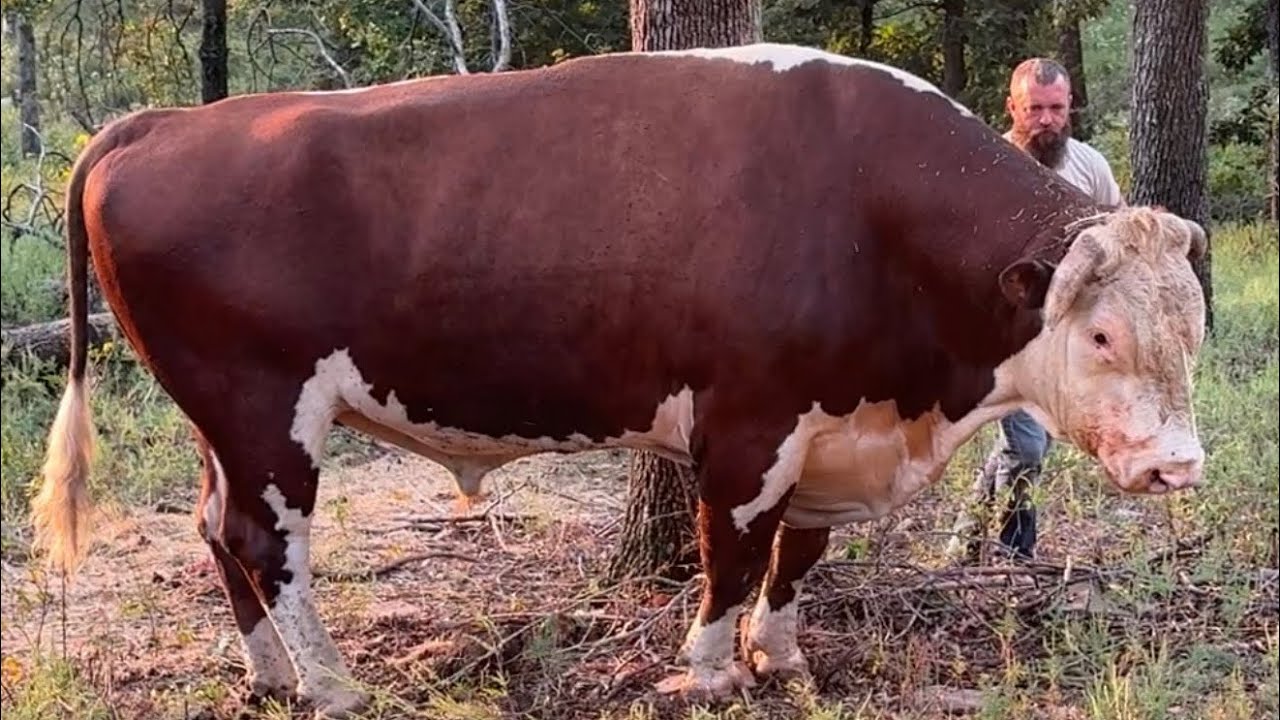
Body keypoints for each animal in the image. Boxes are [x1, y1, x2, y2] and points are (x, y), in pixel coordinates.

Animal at [29, 43, 1208, 718]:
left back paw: (271, 675)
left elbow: (798, 556)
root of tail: (165, 121)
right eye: (1102, 335)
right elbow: (731, 554)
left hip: (222, 421)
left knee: (217, 531)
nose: (1179, 468)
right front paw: (710, 670)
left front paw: (780, 658)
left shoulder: (832, 429)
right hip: (265, 409)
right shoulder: (748, 427)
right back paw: (329, 684)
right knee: (267, 542)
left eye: (1191, 327)